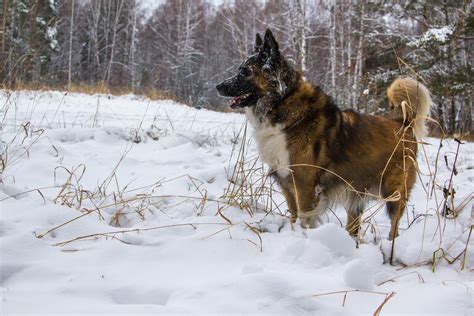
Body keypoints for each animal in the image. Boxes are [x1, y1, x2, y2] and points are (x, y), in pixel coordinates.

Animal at [217, 29, 432, 242]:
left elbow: (304, 219)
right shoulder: (287, 183)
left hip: (395, 192)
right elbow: (294, 216)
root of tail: (402, 122)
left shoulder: (304, 185)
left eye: (246, 72)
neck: (283, 103)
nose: (218, 86)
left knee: (394, 225)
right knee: (354, 225)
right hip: (355, 192)